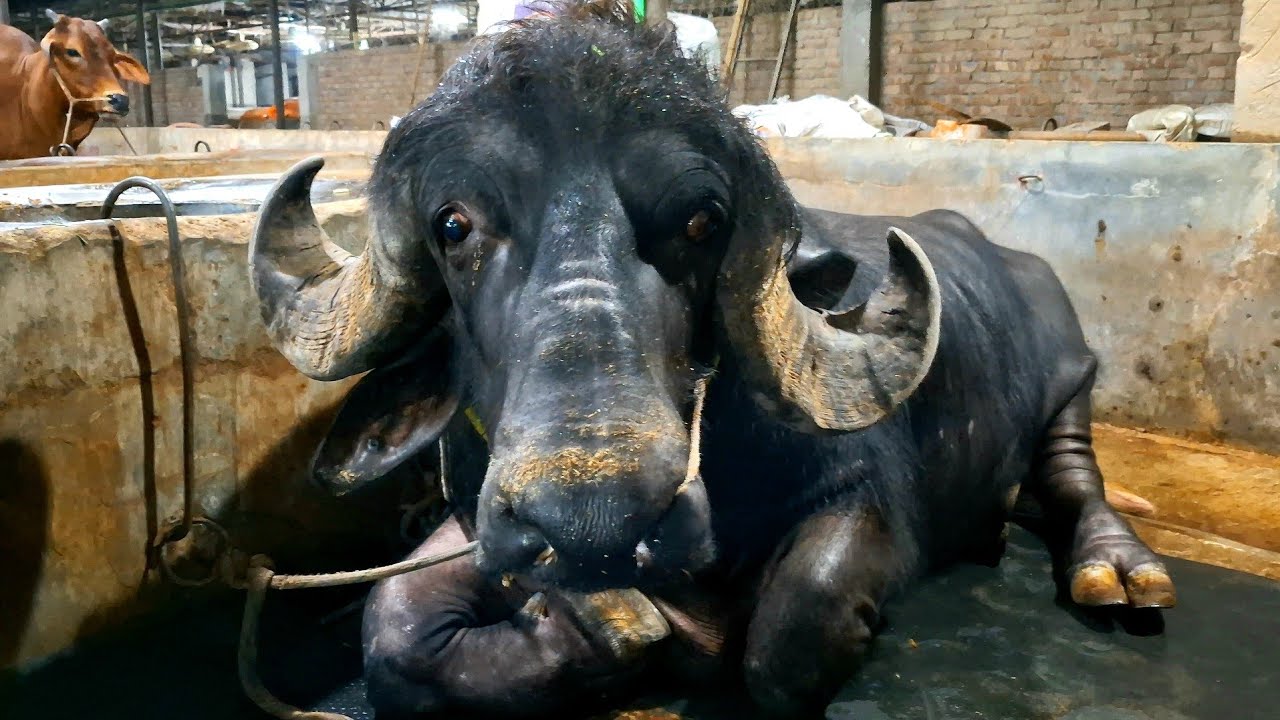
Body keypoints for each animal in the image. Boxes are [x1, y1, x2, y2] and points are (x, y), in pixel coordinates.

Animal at [249, 2, 1177, 717]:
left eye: (702, 221)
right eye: (453, 224)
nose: (595, 523)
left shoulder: (870, 504)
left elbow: (790, 638)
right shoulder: (483, 519)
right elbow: (393, 628)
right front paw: (588, 632)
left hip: (1072, 383)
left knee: (1076, 480)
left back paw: (1117, 569)